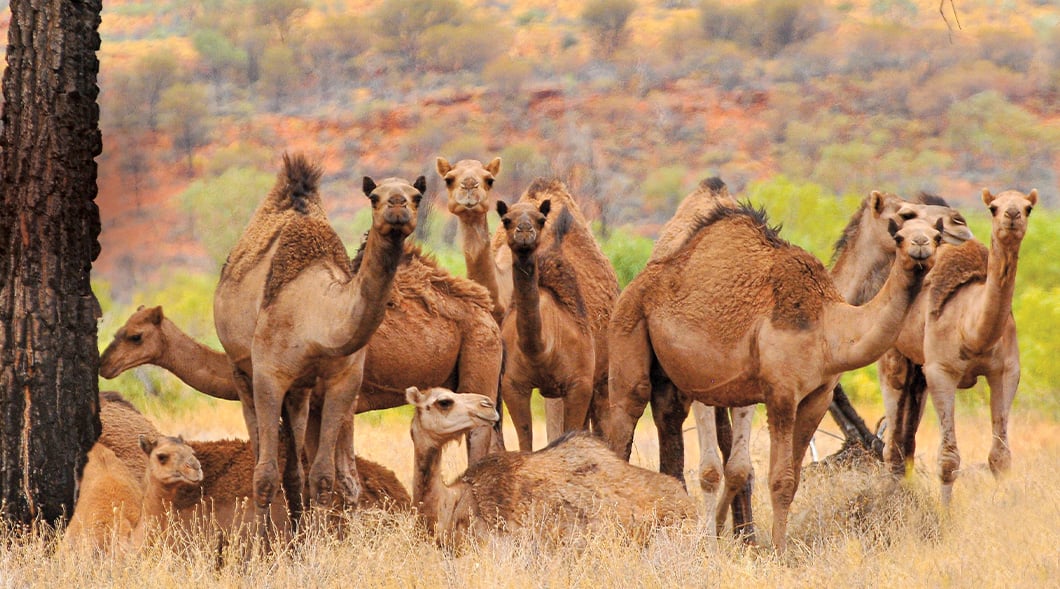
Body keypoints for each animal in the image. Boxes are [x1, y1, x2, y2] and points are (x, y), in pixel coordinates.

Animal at [100, 243, 503, 459]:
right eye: (119, 331)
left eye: (135, 336)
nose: (104, 364)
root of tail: (488, 311)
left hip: (480, 353)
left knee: (479, 434)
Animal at [213, 152, 421, 528]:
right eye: (374, 197)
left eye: (417, 196)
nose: (397, 207)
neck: (318, 320)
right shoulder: (268, 375)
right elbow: (265, 474)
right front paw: (264, 544)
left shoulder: (343, 380)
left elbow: (323, 475)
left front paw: (316, 540)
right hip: (241, 370)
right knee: (260, 453)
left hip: (301, 390)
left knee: (296, 466)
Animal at [494, 180, 619, 451]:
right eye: (506, 219)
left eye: (540, 219)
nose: (524, 231)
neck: (541, 348)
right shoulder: (512, 385)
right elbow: (526, 443)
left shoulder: (578, 383)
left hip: (602, 376)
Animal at [603, 188, 943, 553]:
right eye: (900, 232)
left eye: (936, 236)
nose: (920, 245)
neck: (829, 326)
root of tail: (639, 281)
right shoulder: (781, 393)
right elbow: (779, 478)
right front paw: (777, 553)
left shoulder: (817, 397)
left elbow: (792, 480)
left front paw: (774, 547)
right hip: (628, 327)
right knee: (624, 418)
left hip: (672, 377)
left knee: (668, 419)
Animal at [881, 188, 1037, 505]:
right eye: (993, 208)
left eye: (1028, 207)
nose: (1012, 215)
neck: (972, 330)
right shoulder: (941, 371)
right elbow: (948, 458)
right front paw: (945, 513)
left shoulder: (1006, 371)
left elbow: (1000, 456)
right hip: (893, 356)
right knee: (891, 442)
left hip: (918, 372)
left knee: (905, 440)